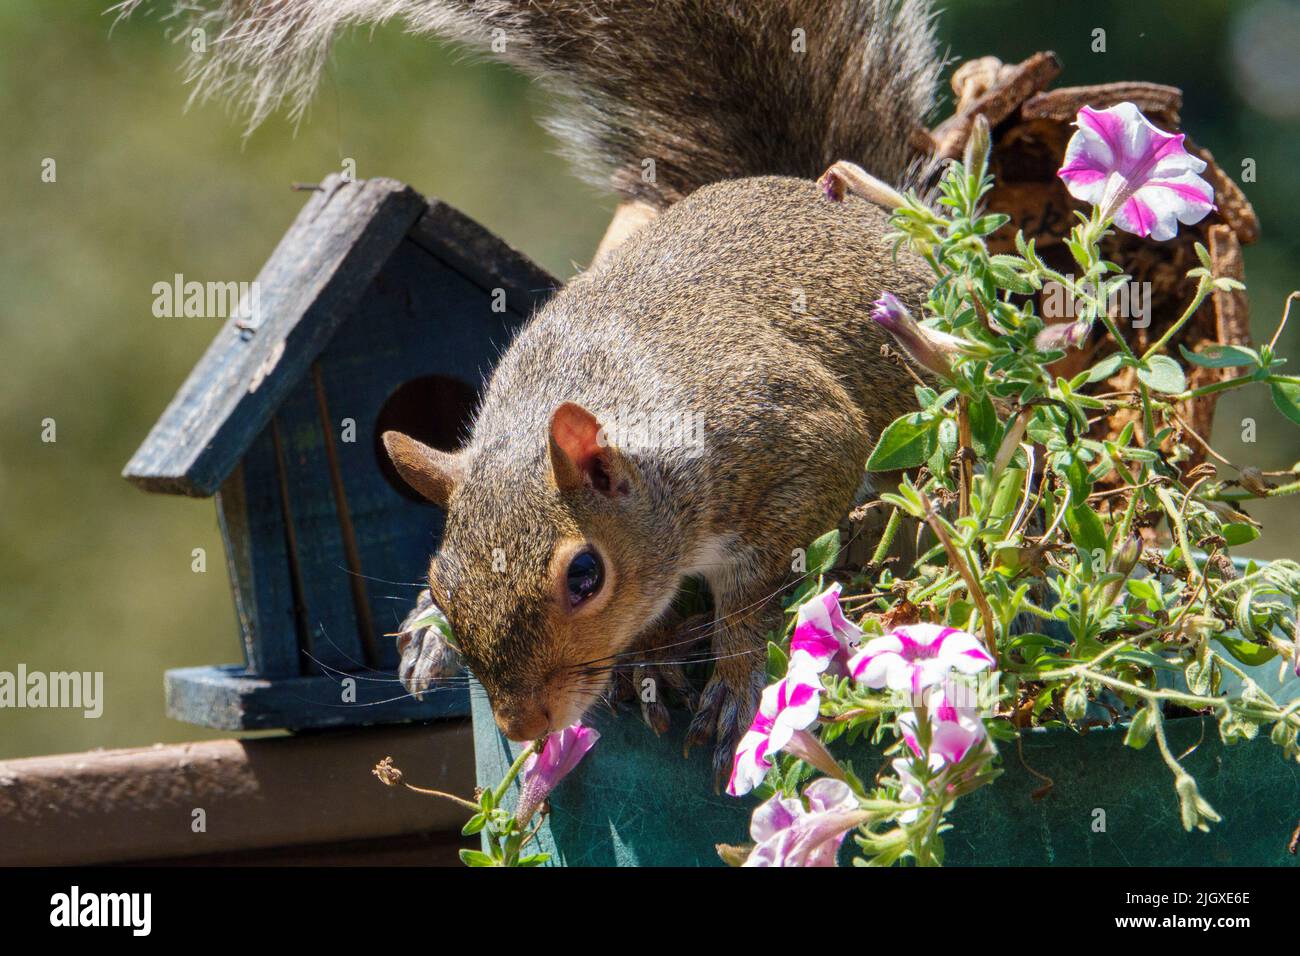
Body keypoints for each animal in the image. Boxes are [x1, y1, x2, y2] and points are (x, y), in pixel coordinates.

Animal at [125, 0, 946, 784]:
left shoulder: (790, 442)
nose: (522, 725)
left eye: (585, 576)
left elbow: (759, 586)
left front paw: (736, 677)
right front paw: (645, 658)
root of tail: (821, 191)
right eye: (441, 580)